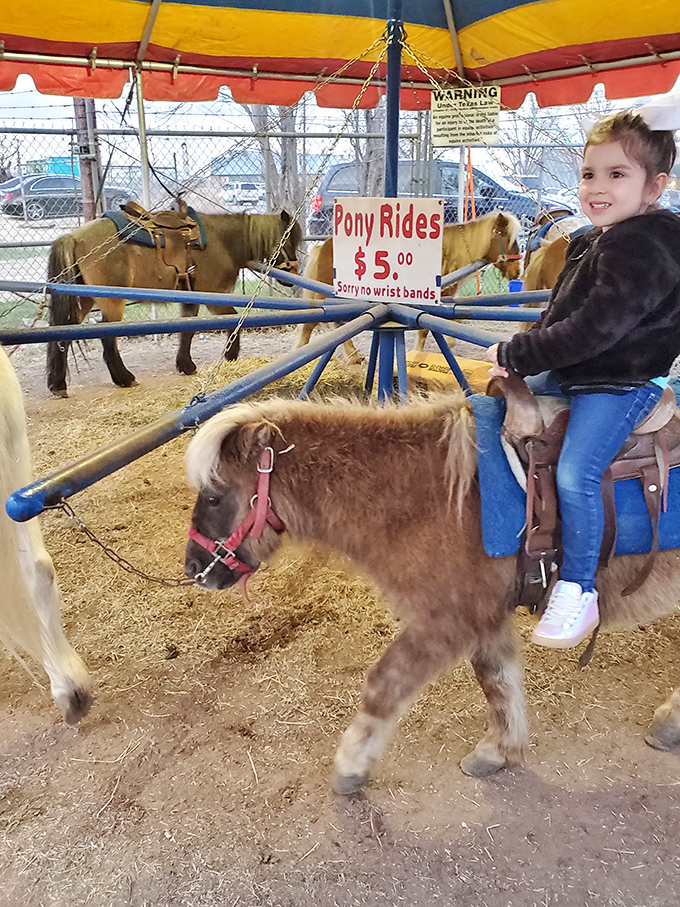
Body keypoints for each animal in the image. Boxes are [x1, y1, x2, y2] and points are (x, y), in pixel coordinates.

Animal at [46, 211, 302, 397]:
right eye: (287, 239)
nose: (292, 274)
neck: (220, 240)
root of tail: (74, 237)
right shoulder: (212, 294)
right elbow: (234, 319)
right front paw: (230, 355)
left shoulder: (191, 296)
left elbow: (187, 330)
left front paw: (186, 365)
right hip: (111, 301)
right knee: (107, 337)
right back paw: (124, 378)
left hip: (84, 299)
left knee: (63, 332)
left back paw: (58, 384)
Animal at [183, 395, 680, 794]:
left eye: (213, 496)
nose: (194, 569)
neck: (430, 497)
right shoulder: (484, 618)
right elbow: (497, 681)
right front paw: (498, 751)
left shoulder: (446, 621)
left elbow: (384, 685)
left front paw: (351, 766)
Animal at [292, 211, 522, 359]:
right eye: (507, 238)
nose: (517, 270)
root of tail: (323, 246)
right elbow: (427, 329)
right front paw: (421, 352)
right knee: (316, 324)